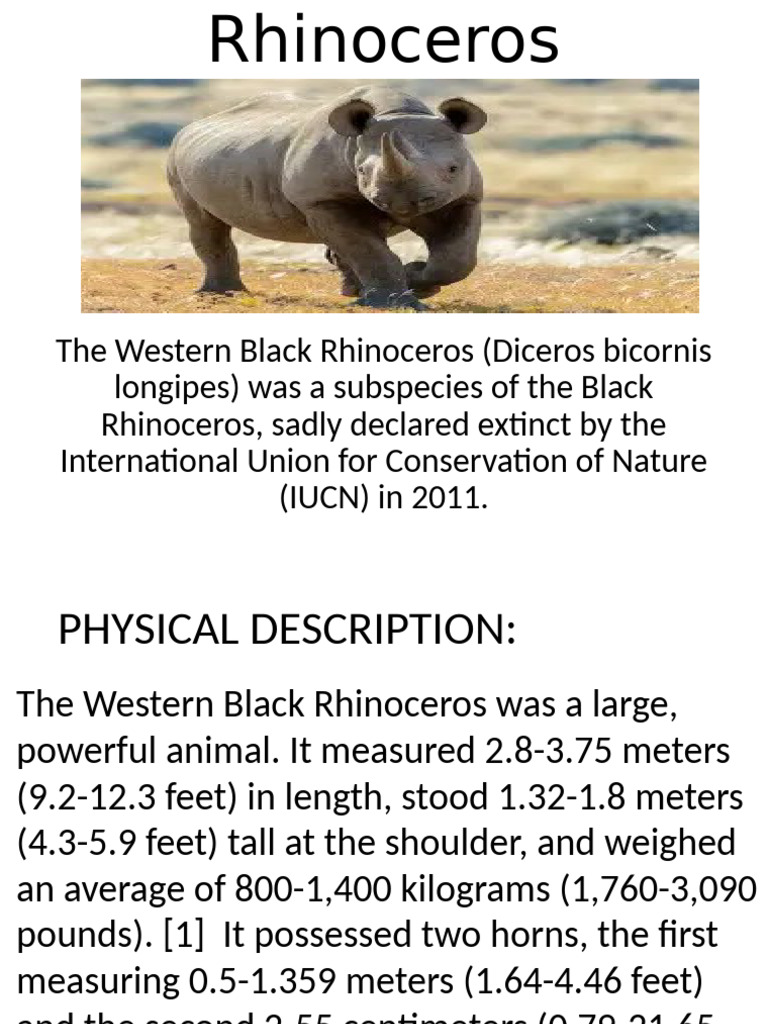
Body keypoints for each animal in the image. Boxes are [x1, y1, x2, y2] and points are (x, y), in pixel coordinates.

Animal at [167, 86, 487, 309]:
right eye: (361, 170)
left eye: (453, 169)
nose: (400, 203)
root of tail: (196, 123)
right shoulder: (321, 200)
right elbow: (366, 250)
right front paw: (399, 300)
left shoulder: (462, 197)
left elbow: (457, 258)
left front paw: (417, 279)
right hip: (176, 156)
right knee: (204, 222)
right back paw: (222, 295)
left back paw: (353, 289)